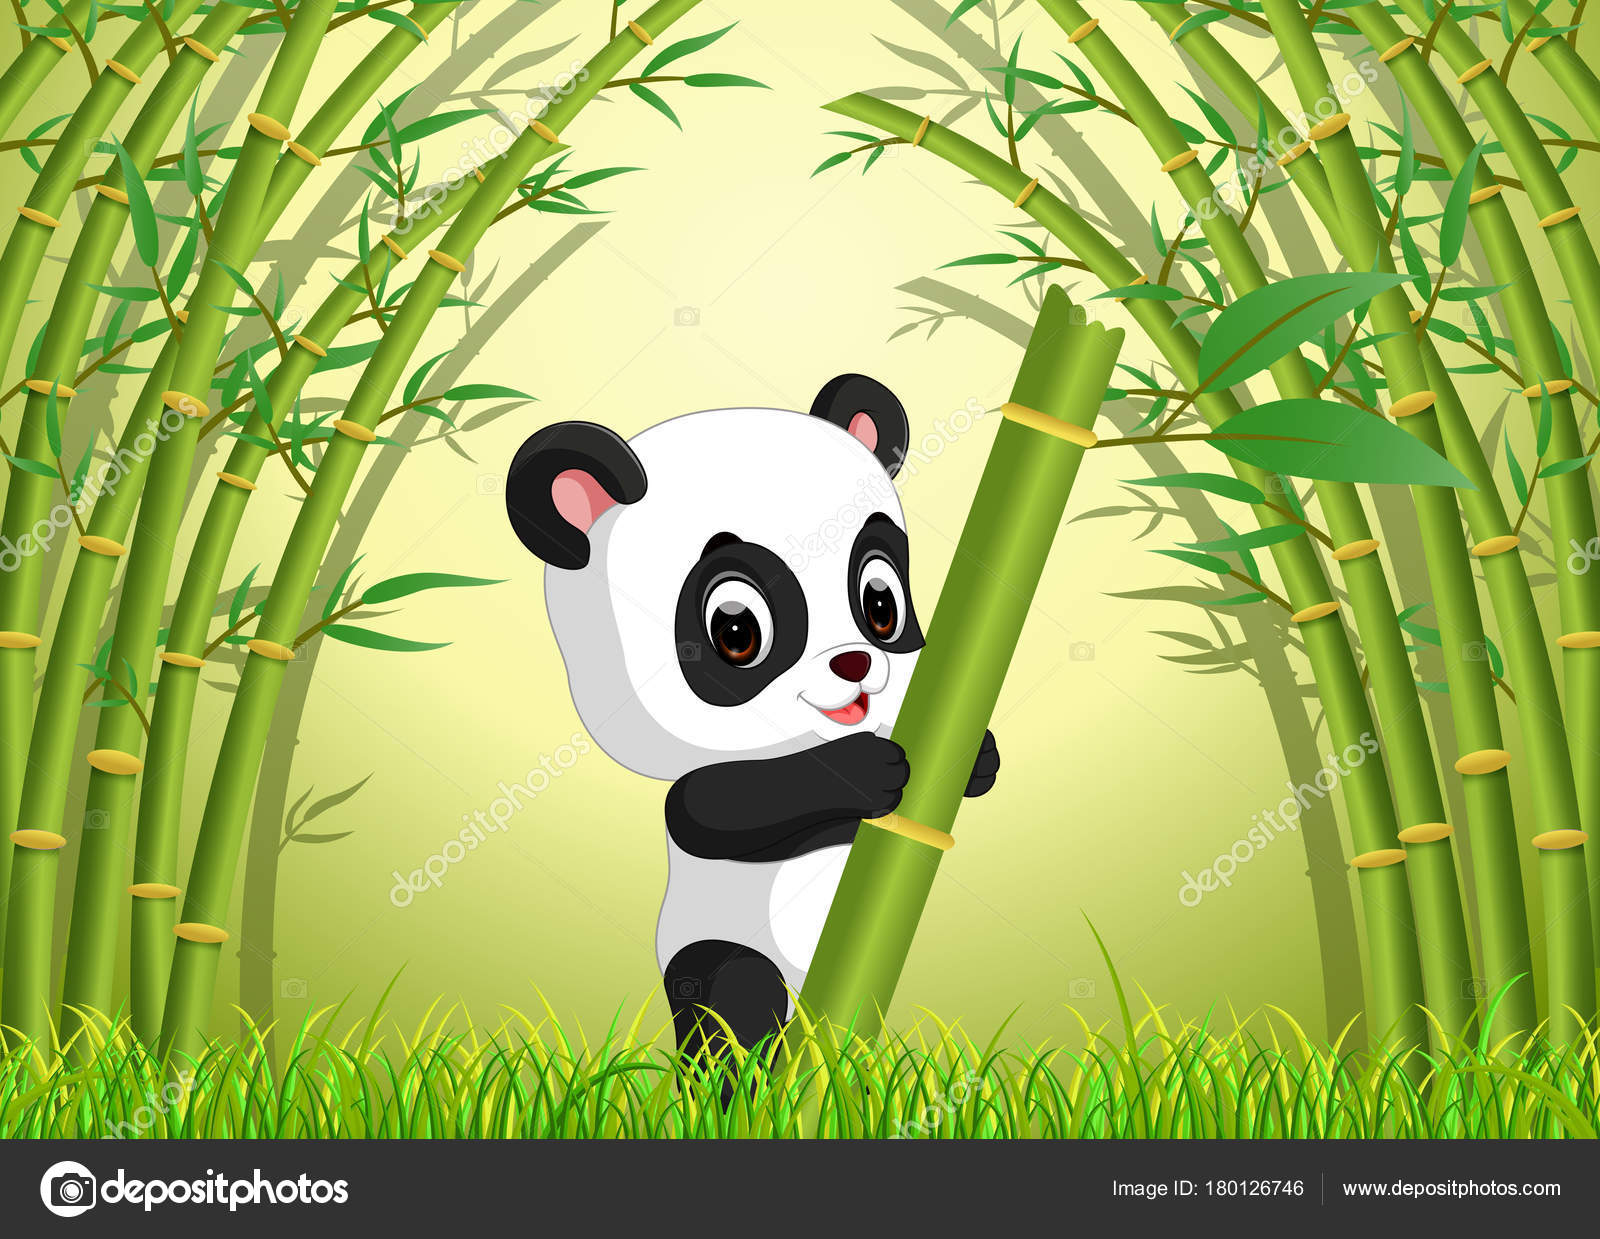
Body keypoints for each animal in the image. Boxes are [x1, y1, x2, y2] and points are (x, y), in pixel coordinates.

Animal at [503, 375, 999, 1063]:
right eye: (736, 631)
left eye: (881, 603)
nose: (853, 664)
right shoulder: (704, 793)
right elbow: (719, 807)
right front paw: (864, 770)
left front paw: (978, 756)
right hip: (709, 944)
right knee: (731, 1003)